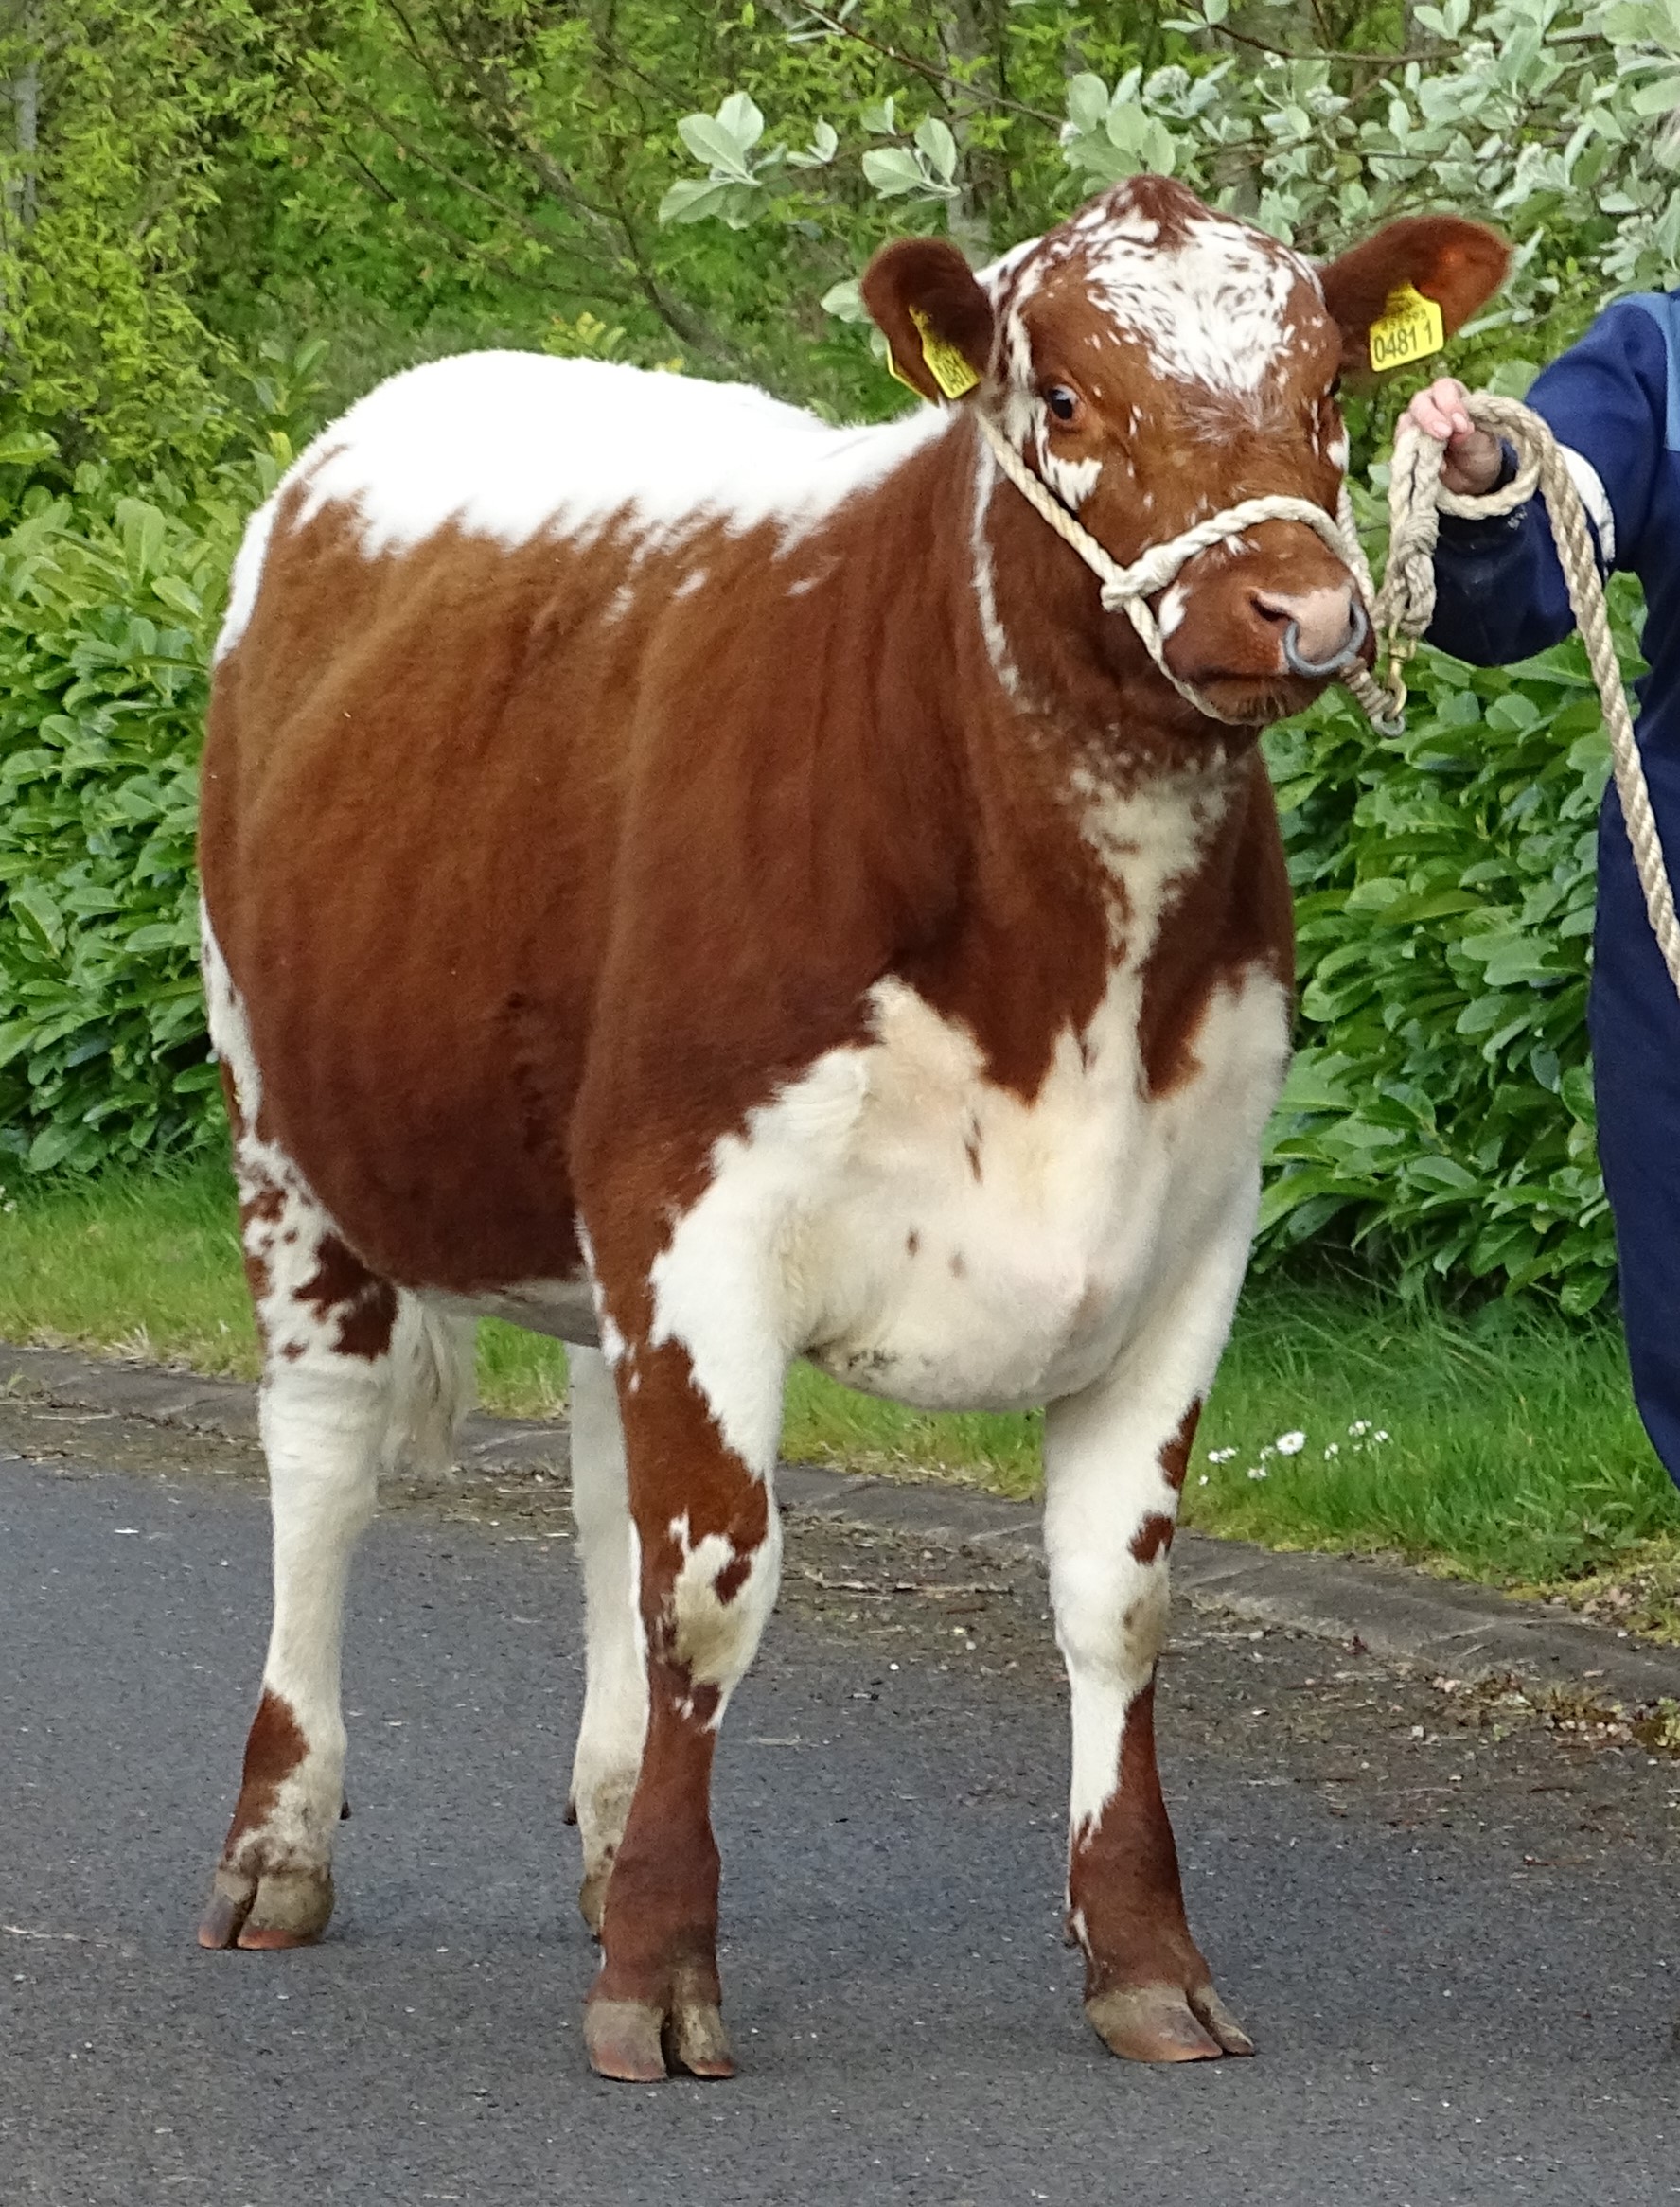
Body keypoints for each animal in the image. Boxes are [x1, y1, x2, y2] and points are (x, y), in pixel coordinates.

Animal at [194, 175, 1506, 2081]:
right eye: (1062, 395)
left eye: (1330, 382)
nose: (1302, 608)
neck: (1060, 970)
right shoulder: (699, 1200)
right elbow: (714, 1586)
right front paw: (659, 1978)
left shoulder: (1192, 1230)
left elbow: (1116, 1601)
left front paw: (1145, 1959)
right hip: (286, 1129)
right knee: (323, 1461)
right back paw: (277, 1850)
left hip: (582, 1206)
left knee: (598, 1487)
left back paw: (604, 1831)